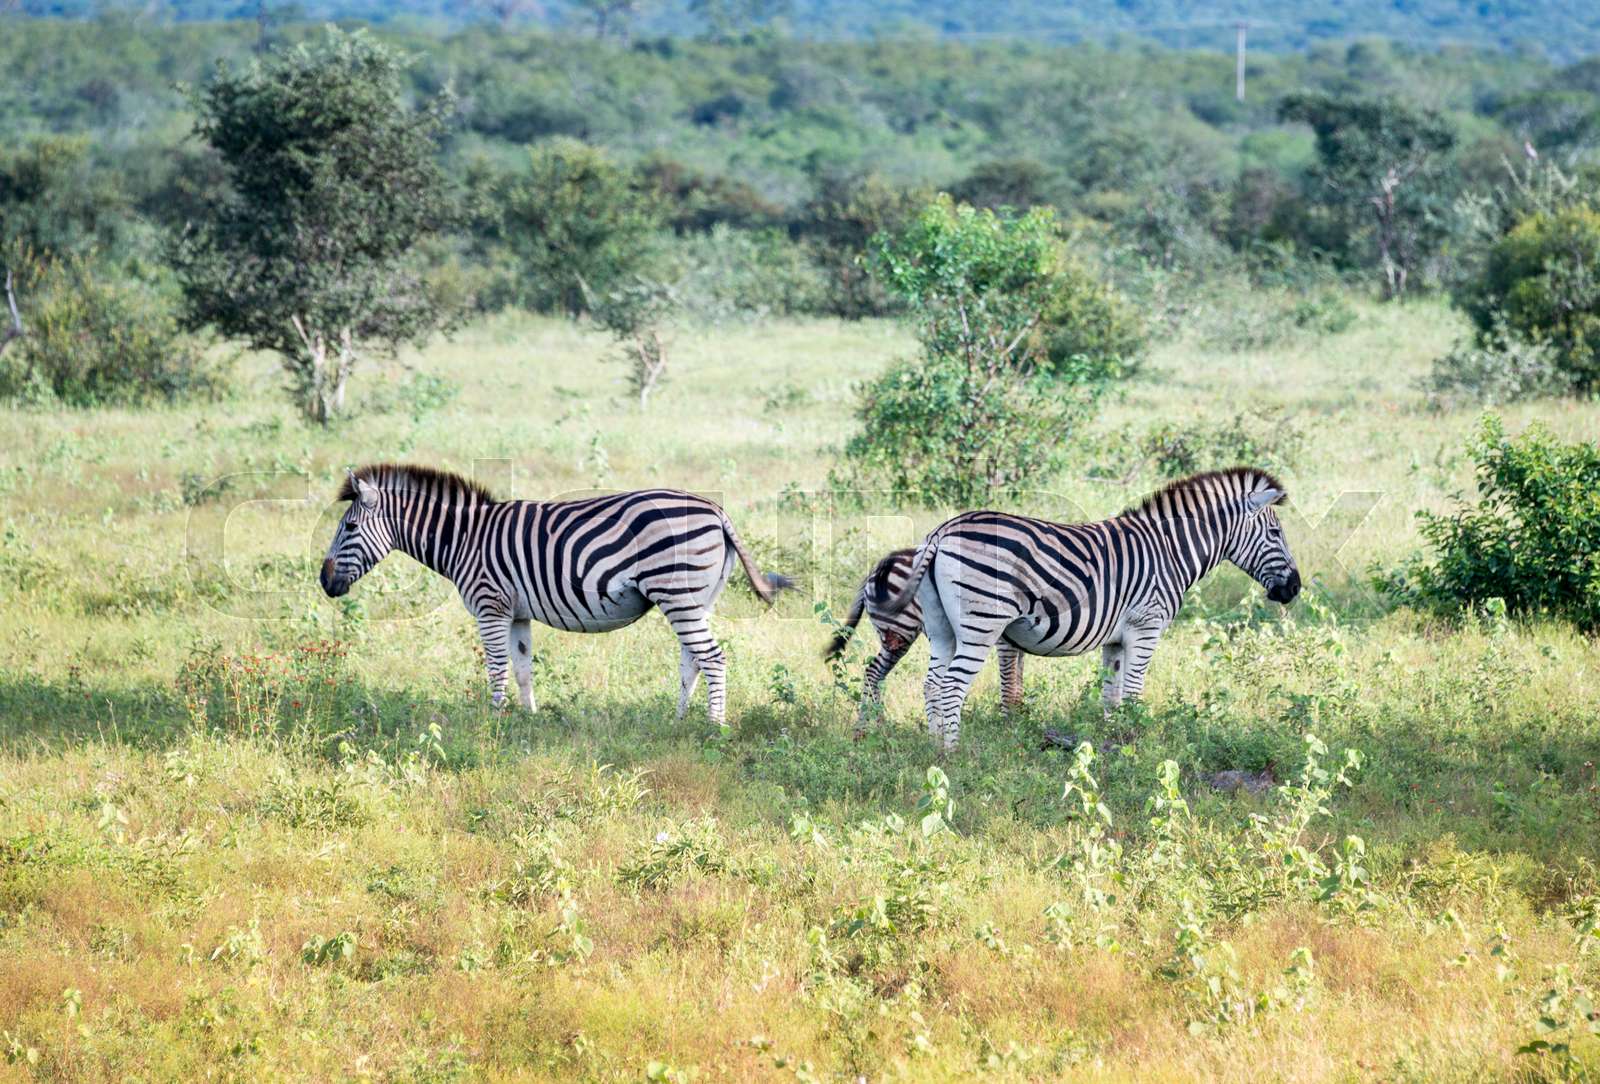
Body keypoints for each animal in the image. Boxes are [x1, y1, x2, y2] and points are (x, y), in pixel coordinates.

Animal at [319, 464, 789, 723]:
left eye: (349, 527)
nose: (324, 582)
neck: (465, 539)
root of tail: (716, 510)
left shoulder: (490, 606)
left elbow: (496, 668)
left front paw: (493, 722)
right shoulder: (517, 613)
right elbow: (523, 668)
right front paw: (528, 720)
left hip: (677, 594)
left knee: (713, 658)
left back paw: (714, 727)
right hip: (696, 599)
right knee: (692, 660)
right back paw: (679, 722)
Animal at [824, 549, 1024, 732]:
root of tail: (875, 568)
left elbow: (1018, 680)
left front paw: (1020, 716)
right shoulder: (1002, 637)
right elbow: (1009, 682)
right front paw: (1008, 726)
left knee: (873, 672)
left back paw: (875, 729)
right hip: (900, 632)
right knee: (874, 672)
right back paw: (871, 728)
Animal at [875, 467, 1301, 751]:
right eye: (1276, 533)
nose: (1295, 588)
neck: (1168, 550)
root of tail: (941, 532)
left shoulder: (1115, 639)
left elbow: (1111, 696)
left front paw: (1116, 743)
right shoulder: (1146, 627)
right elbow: (1133, 694)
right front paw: (1136, 746)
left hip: (941, 626)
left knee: (932, 683)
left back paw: (934, 749)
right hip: (981, 624)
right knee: (951, 686)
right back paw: (953, 753)